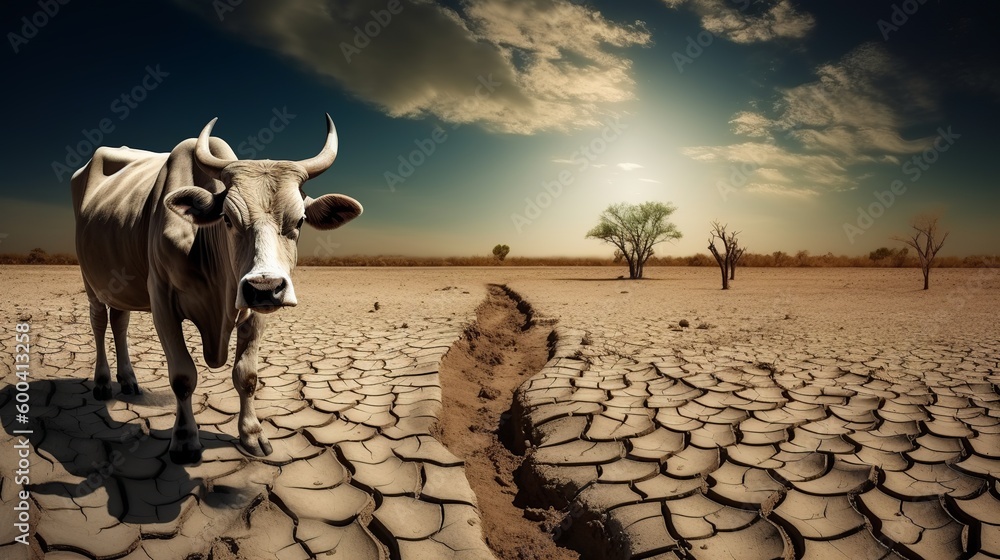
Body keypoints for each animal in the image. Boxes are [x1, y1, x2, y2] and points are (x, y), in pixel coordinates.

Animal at [71, 115, 362, 464]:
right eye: (227, 219)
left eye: (300, 221)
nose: (265, 286)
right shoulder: (162, 304)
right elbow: (182, 376)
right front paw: (185, 440)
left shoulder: (254, 311)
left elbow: (246, 375)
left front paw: (252, 434)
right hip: (90, 279)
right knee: (100, 323)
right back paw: (102, 383)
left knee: (120, 321)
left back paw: (128, 380)